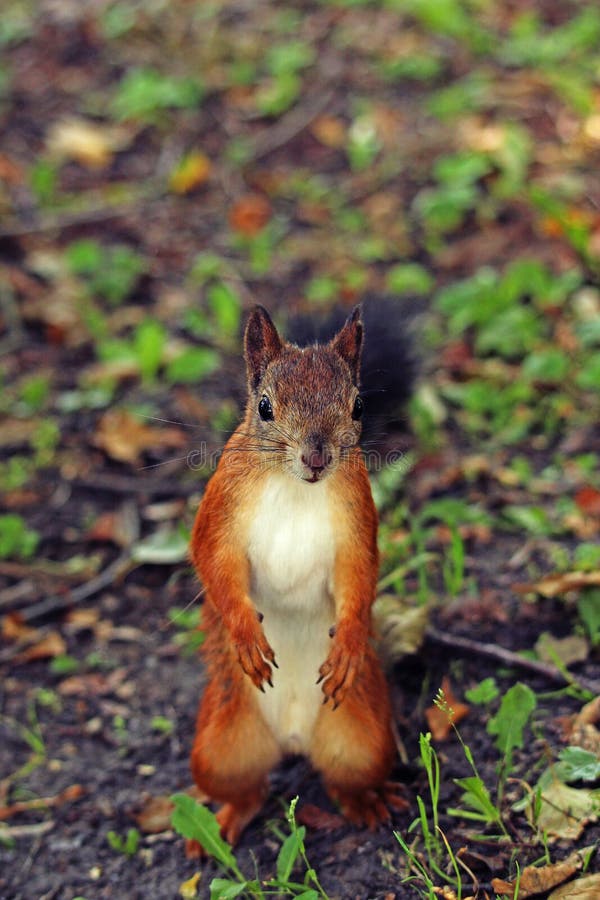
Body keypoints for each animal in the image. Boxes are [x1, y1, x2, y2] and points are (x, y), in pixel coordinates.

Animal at [187, 304, 409, 853]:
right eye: (265, 407)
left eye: (357, 406)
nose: (316, 458)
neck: (295, 487)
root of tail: (291, 739)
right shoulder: (220, 509)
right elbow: (214, 562)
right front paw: (245, 634)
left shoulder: (356, 522)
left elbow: (359, 577)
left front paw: (348, 643)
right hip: (218, 748)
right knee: (248, 789)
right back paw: (223, 822)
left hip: (364, 740)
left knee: (345, 780)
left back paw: (368, 803)